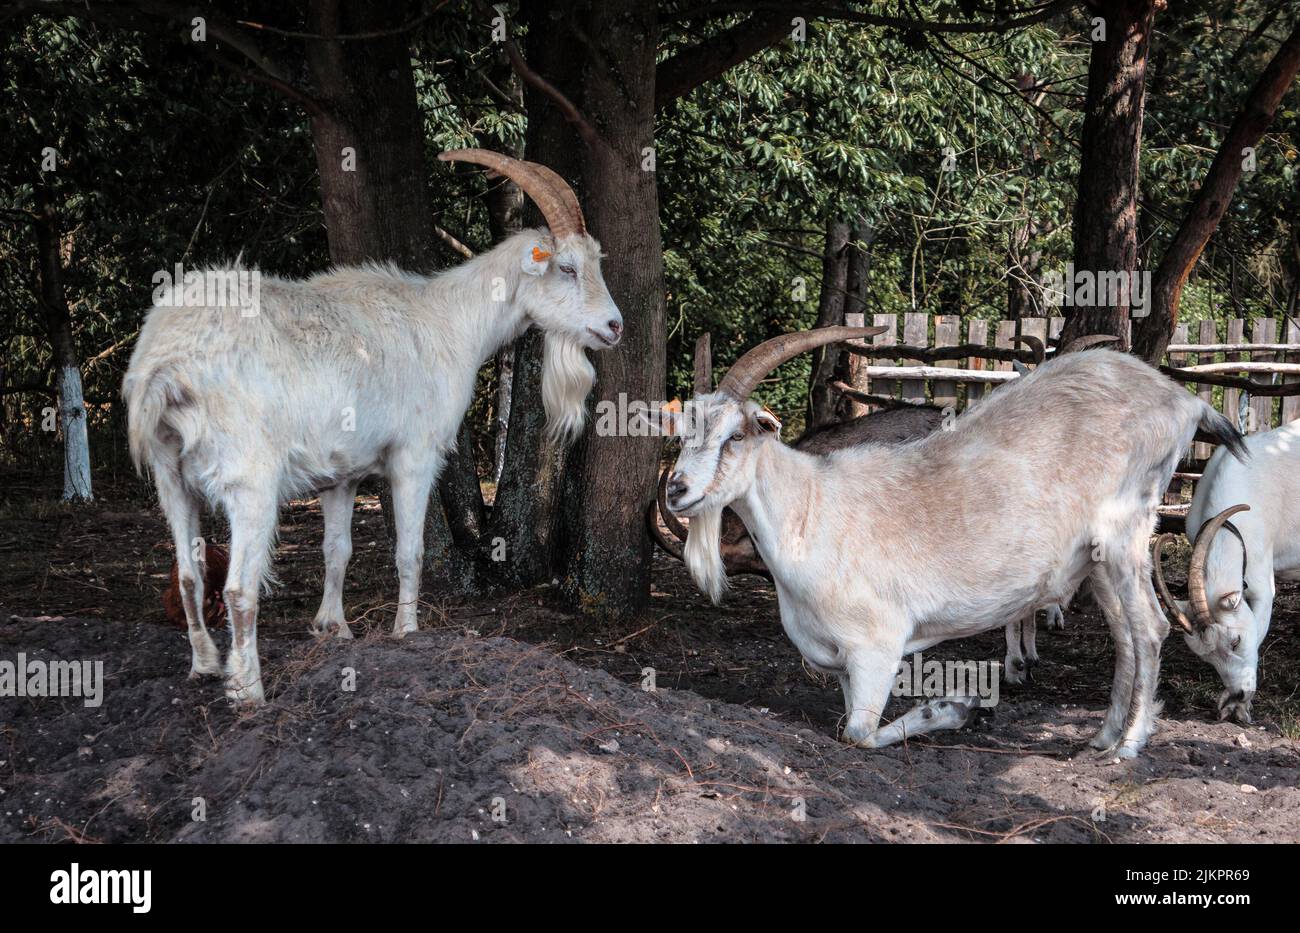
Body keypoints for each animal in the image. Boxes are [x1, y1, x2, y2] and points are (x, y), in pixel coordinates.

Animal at [124, 149, 622, 704]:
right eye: (567, 267)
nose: (614, 327)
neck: (449, 322)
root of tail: (166, 363)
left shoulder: (340, 474)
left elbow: (336, 550)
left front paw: (333, 627)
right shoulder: (414, 457)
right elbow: (410, 550)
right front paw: (407, 631)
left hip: (171, 477)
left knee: (189, 577)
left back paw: (205, 665)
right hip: (248, 480)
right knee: (236, 588)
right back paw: (247, 688)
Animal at [662, 326, 1246, 757]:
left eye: (736, 435)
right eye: (686, 431)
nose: (677, 489)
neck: (810, 512)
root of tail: (1183, 401)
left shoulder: (876, 646)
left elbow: (857, 734)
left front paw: (958, 707)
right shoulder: (844, 665)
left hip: (1126, 532)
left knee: (1149, 628)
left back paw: (1127, 746)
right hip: (1097, 559)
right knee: (1125, 635)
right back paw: (1099, 738)